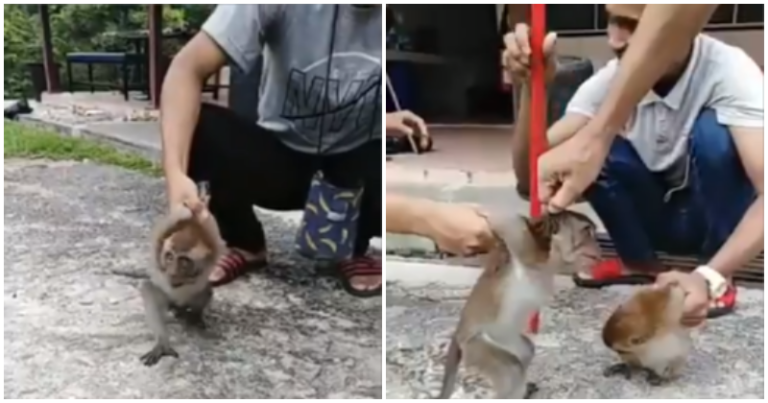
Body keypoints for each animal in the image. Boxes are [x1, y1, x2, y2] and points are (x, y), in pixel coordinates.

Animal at [139, 183, 226, 367]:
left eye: (184, 262)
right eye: (169, 257)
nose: (172, 272)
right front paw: (162, 342)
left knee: (205, 291)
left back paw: (191, 315)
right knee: (150, 289)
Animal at [437, 210, 601, 399]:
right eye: (587, 231)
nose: (598, 247)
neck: (550, 260)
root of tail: (459, 334)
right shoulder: (528, 244)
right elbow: (514, 227)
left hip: (503, 338)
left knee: (526, 351)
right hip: (476, 346)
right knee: (513, 371)